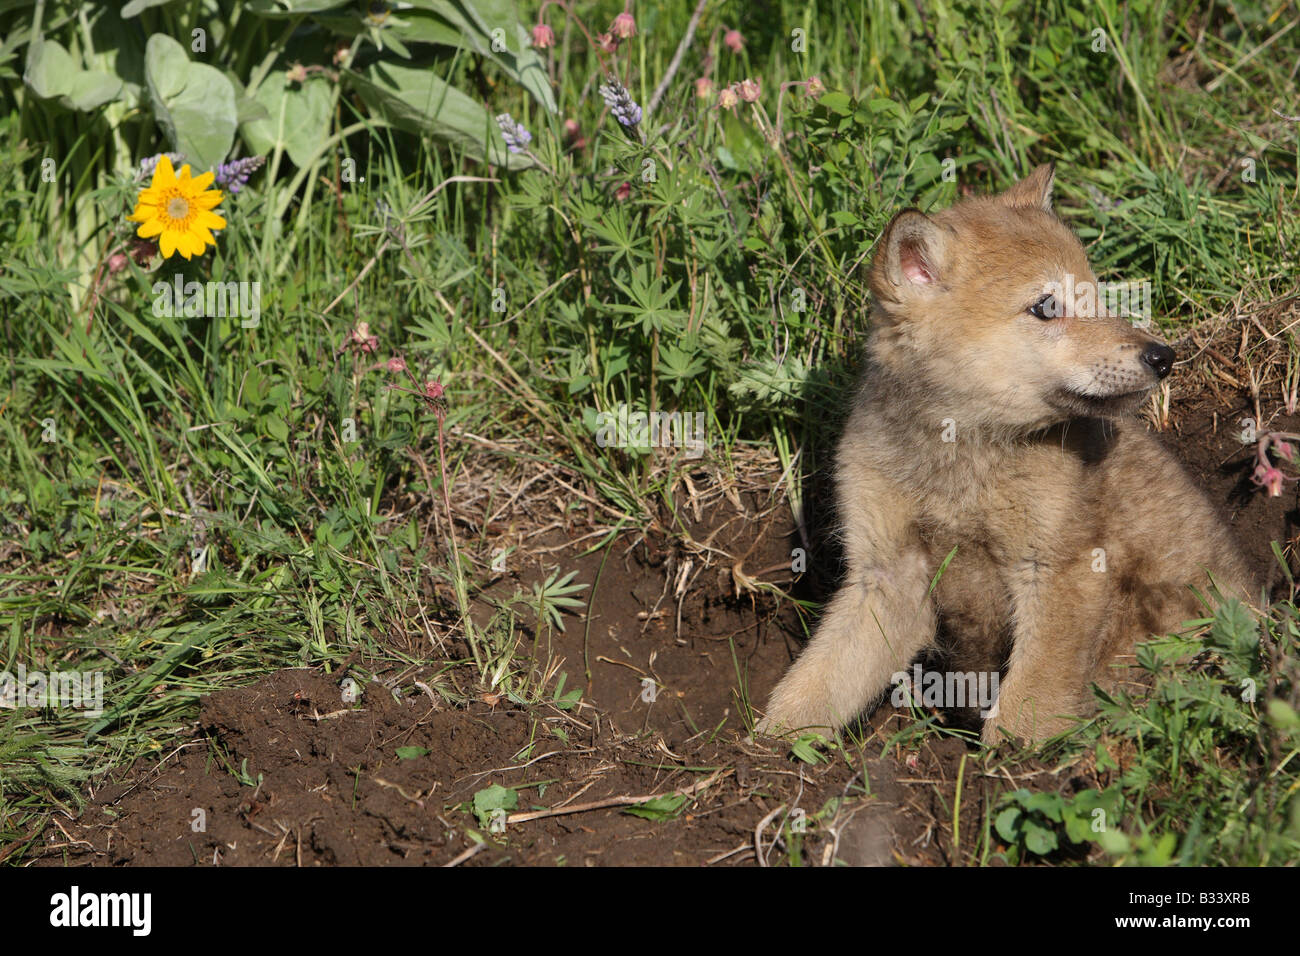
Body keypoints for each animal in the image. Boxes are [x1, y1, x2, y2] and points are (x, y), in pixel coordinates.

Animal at [759, 164, 1255, 745]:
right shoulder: (886, 577)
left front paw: (1013, 754)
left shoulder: (1059, 568)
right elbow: (820, 679)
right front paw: (768, 743)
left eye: (1095, 295)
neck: (962, 458)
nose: (1163, 356)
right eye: (1046, 306)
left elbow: (1032, 695)